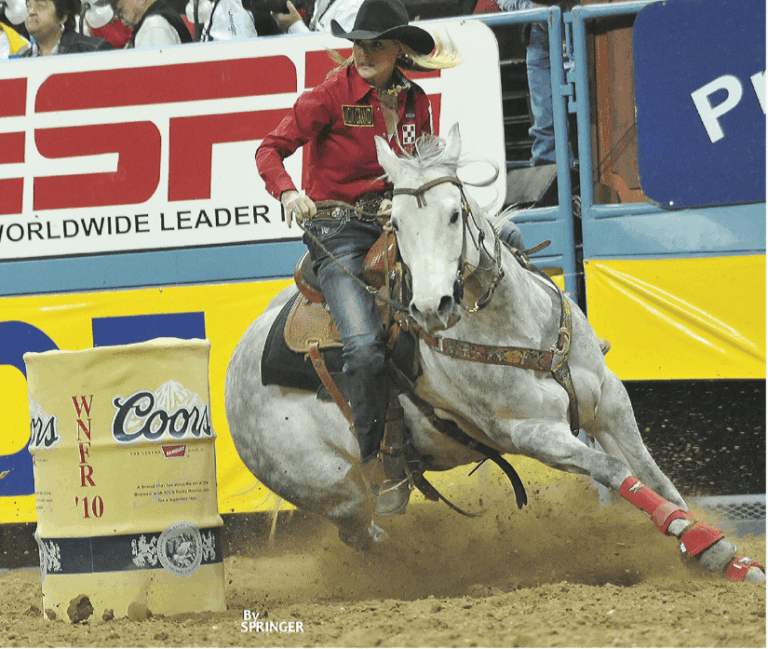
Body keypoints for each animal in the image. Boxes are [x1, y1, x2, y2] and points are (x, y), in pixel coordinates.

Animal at [225, 124, 764, 583]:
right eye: (395, 222)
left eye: (454, 212)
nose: (431, 307)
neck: (522, 329)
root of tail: (231, 375)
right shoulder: (531, 432)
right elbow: (616, 472)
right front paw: (702, 546)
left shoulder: (608, 401)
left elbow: (656, 476)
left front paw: (720, 550)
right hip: (332, 488)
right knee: (359, 532)